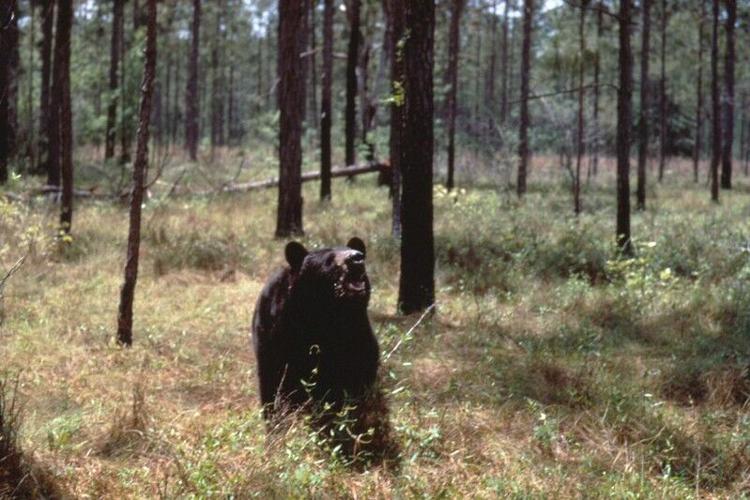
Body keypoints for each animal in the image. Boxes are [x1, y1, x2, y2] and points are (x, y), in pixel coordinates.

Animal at [251, 237, 380, 419]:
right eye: (329, 260)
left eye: (359, 254)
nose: (356, 257)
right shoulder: (278, 339)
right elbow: (276, 386)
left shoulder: (357, 334)